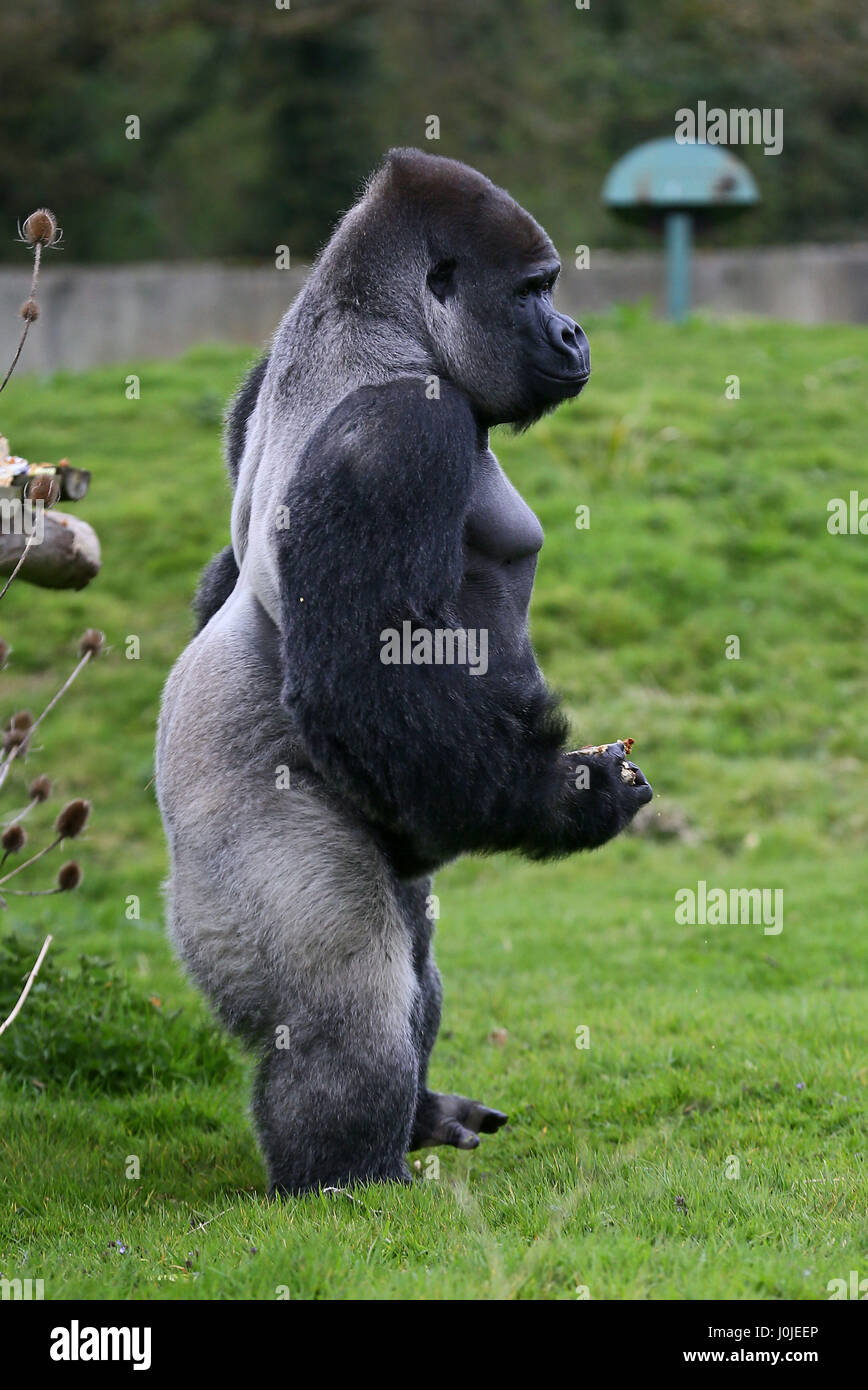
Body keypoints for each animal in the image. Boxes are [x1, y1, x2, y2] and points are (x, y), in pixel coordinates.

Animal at [156, 149, 652, 1197]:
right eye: (535, 289)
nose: (573, 329)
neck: (376, 324)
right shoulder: (399, 433)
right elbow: (367, 668)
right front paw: (571, 797)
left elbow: (226, 571)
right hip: (232, 860)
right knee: (347, 1006)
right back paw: (346, 1176)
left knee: (411, 945)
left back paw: (417, 1116)